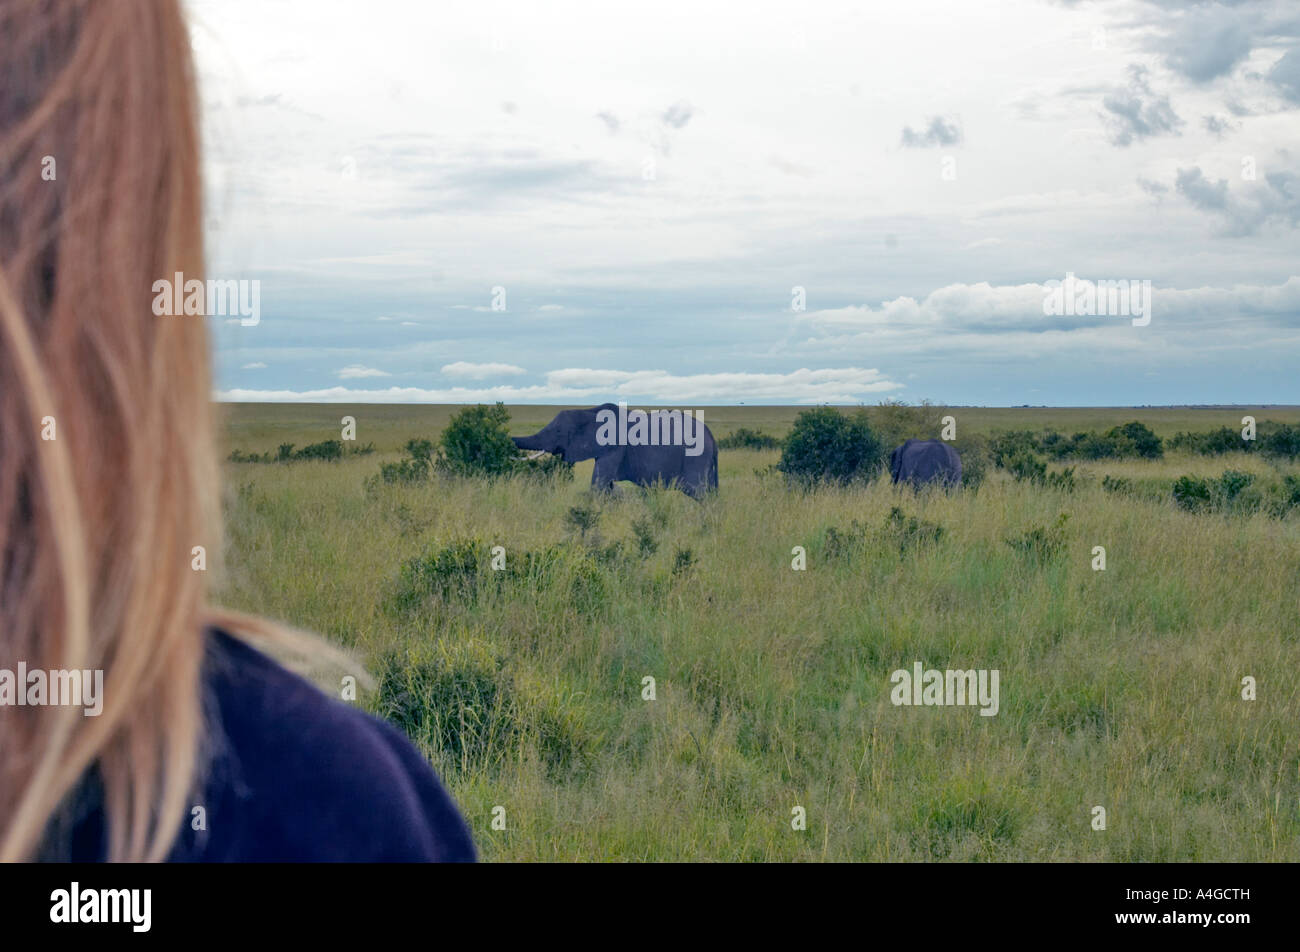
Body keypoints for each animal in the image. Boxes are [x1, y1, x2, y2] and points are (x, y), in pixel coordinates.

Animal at [512, 403, 718, 498]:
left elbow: (598, 484)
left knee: (699, 493)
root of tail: (711, 436)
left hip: (695, 458)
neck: (588, 411)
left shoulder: (615, 447)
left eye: (558, 432)